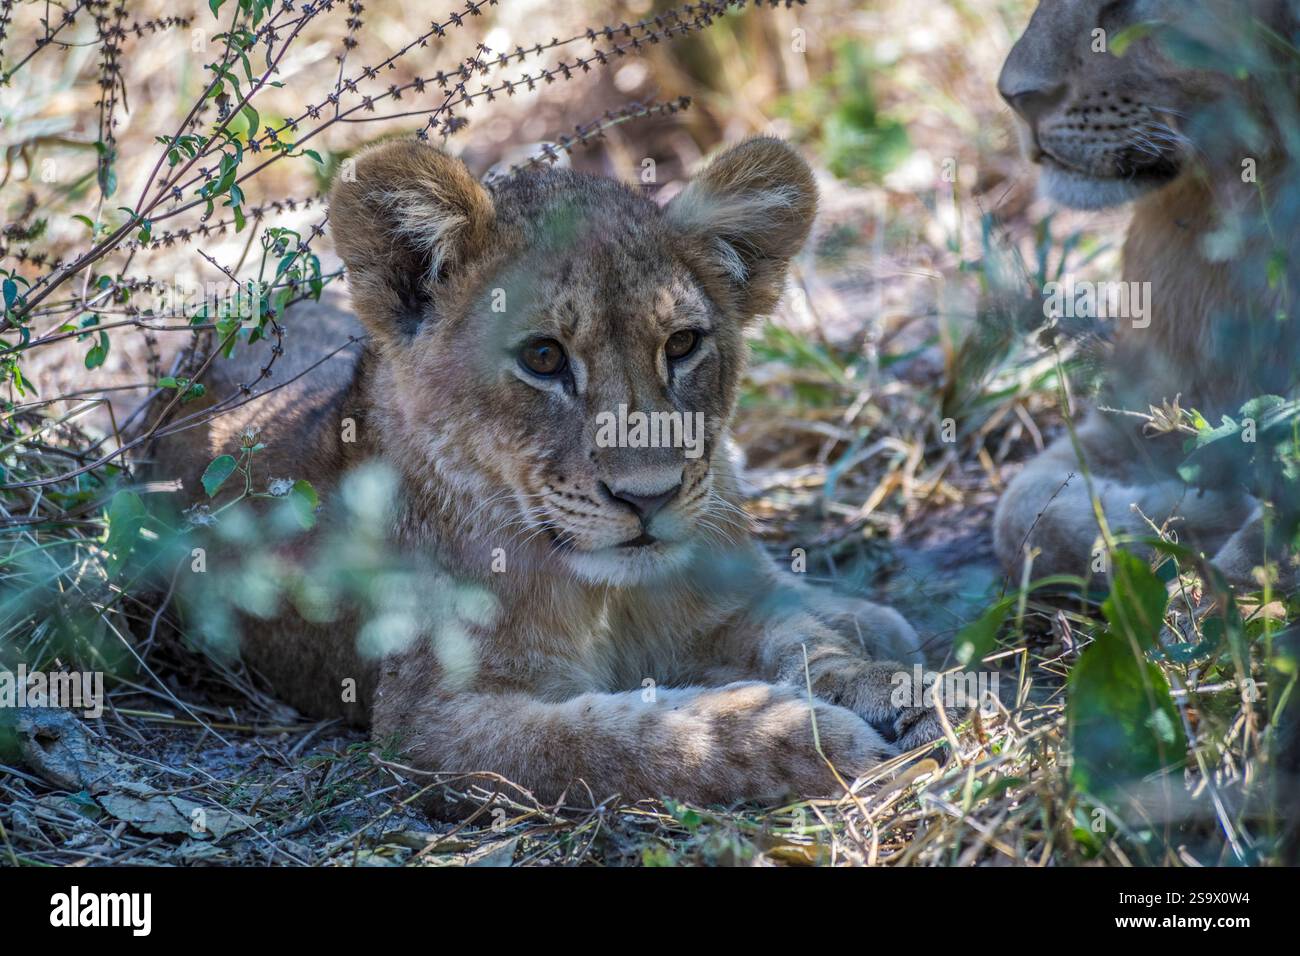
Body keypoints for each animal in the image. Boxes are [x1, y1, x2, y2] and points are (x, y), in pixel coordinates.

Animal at [155, 137, 953, 807]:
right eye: (542, 358)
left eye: (682, 344)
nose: (649, 498)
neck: (613, 601)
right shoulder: (429, 727)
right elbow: (621, 741)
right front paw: (811, 739)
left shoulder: (723, 608)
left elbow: (805, 641)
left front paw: (888, 688)